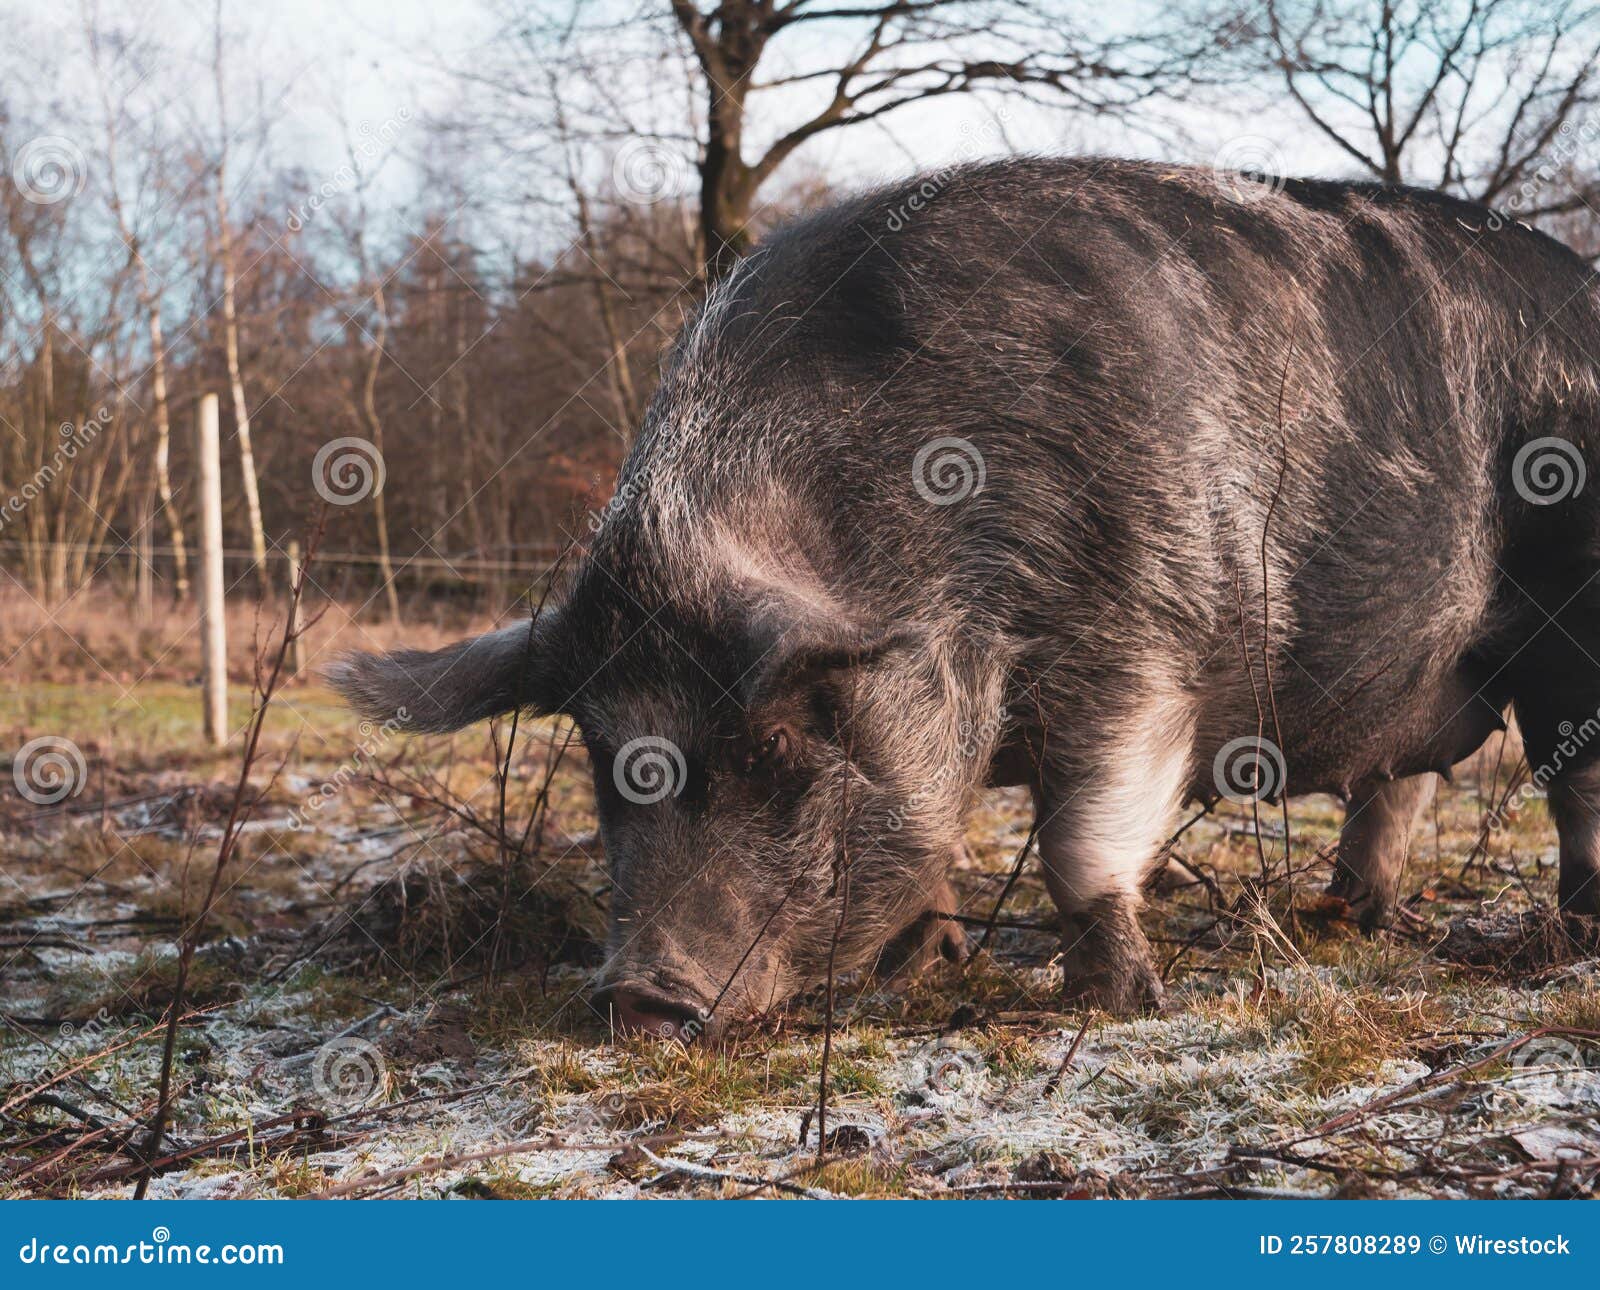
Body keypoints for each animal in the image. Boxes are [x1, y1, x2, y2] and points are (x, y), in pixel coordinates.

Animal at [331, 157, 1600, 1037]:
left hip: (1572, 625)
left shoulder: (1147, 646)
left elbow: (1080, 846)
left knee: (1572, 783)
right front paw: (924, 968)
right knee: (1401, 785)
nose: (639, 998)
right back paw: (1349, 918)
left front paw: (1114, 1000)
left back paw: (1570, 934)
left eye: (777, 740)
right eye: (604, 756)